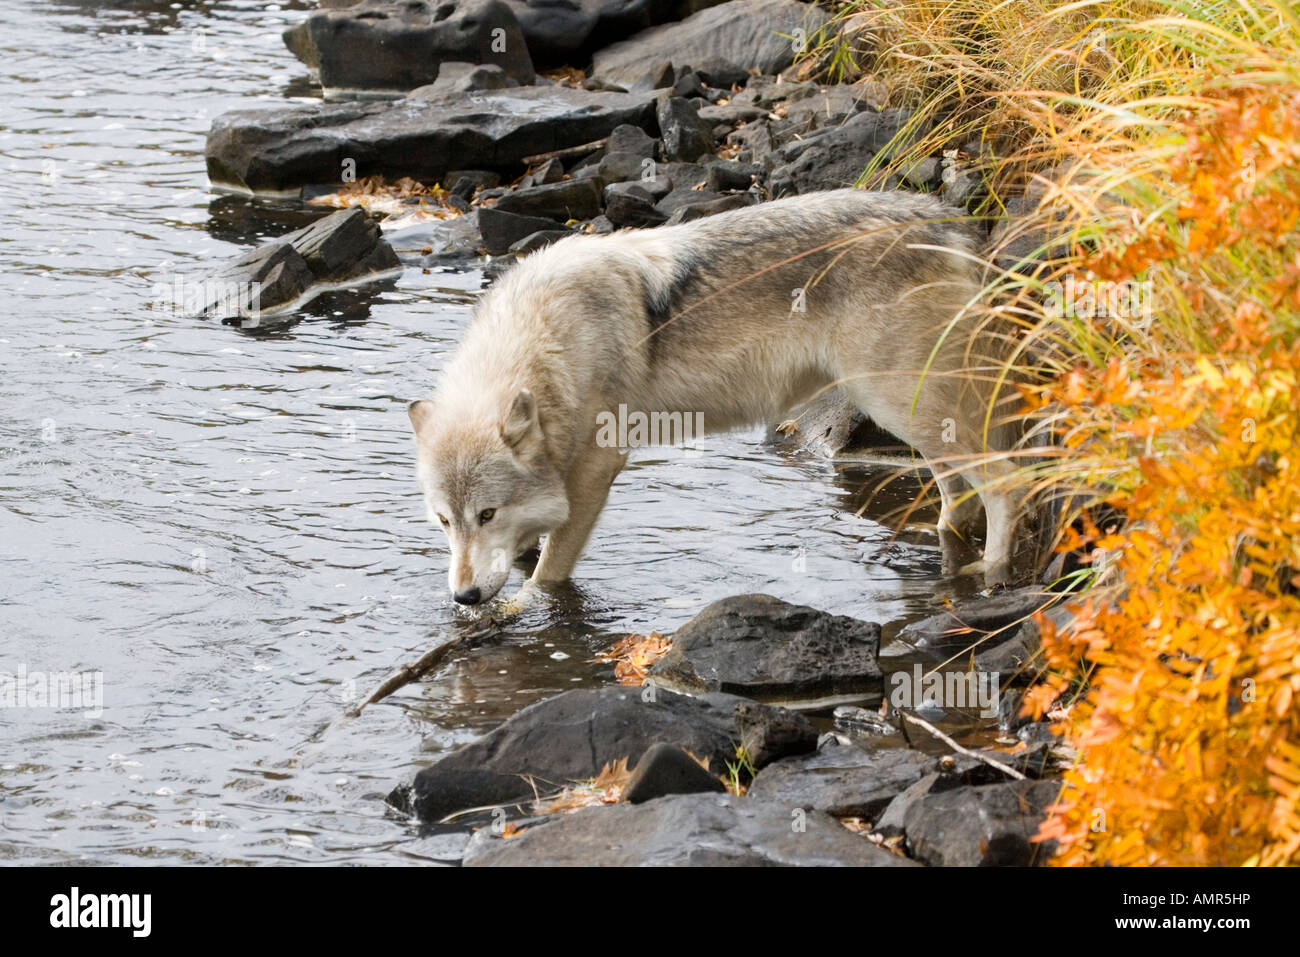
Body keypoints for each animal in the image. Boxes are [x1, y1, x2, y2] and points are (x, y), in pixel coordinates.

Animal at [408, 188, 1023, 606]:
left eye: (487, 514)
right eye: (444, 521)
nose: (463, 599)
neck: (551, 340)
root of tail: (956, 231)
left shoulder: (598, 467)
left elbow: (550, 571)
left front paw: (525, 607)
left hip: (898, 403)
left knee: (1004, 481)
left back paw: (992, 573)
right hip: (915, 417)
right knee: (960, 496)